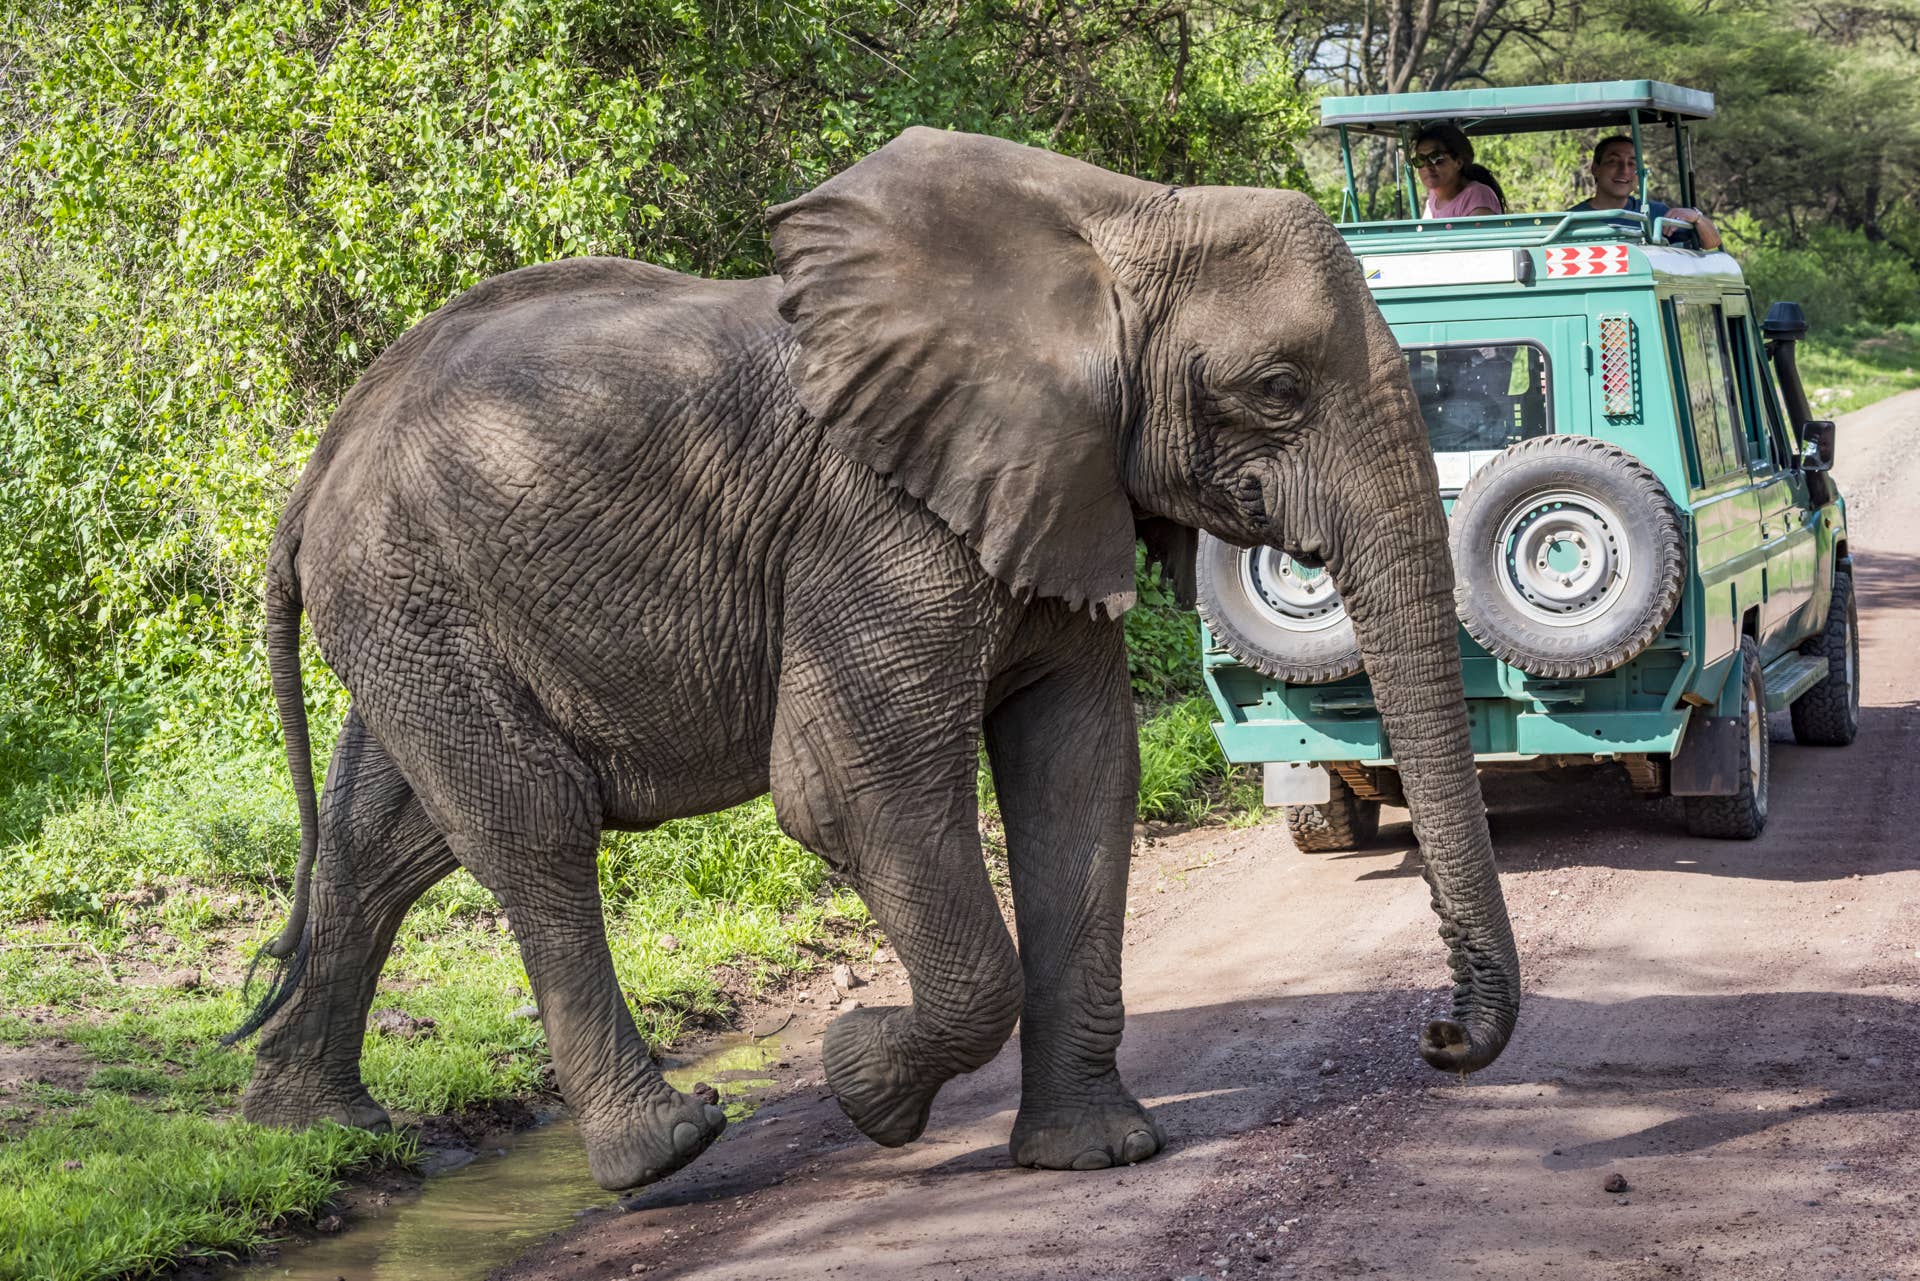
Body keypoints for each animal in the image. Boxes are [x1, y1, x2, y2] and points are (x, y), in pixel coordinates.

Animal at [232, 127, 1521, 1191]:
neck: (1117, 224)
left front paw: (1097, 1157)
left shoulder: (1056, 487)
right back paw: (669, 1146)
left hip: (413, 611)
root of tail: (319, 465)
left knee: (385, 841)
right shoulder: (877, 520)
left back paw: (316, 1131)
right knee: (532, 826)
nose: (1440, 1036)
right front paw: (863, 1084)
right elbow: (849, 787)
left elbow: (1079, 773)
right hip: (411, 588)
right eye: (1277, 388)